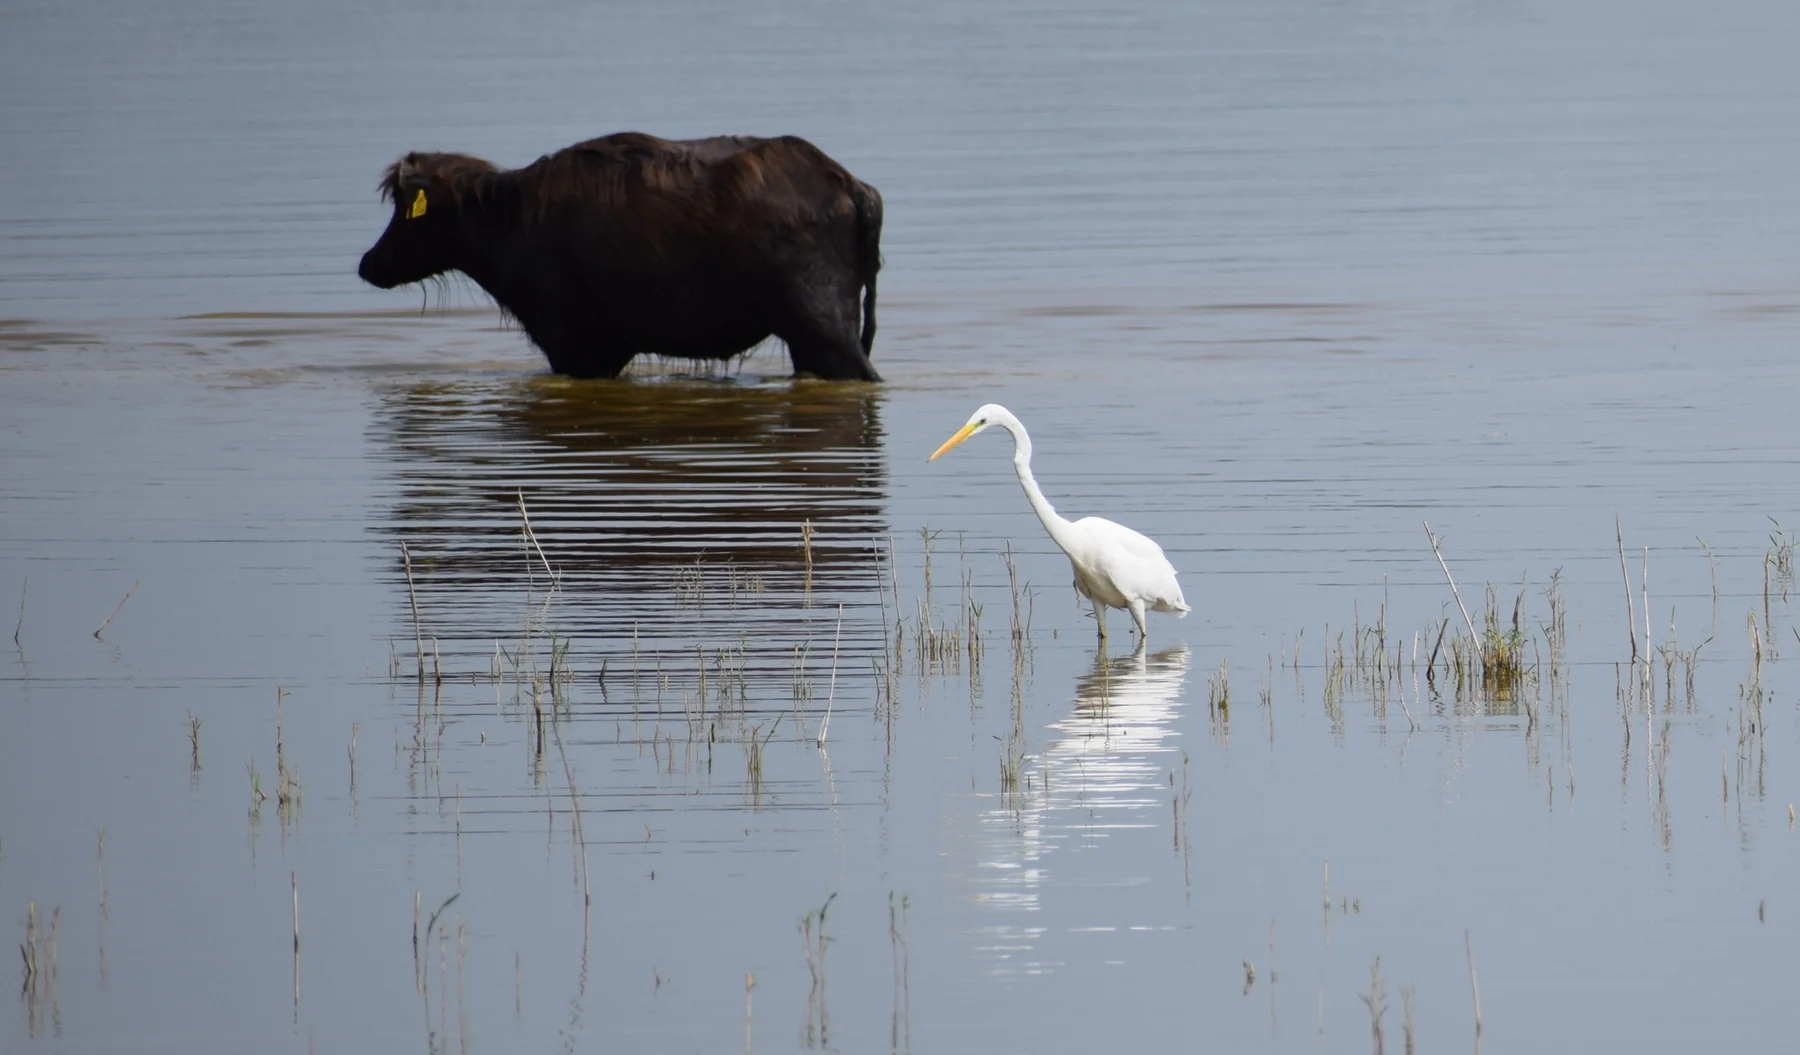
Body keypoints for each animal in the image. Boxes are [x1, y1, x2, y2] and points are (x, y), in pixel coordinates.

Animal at [358, 132, 884, 381]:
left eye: (404, 210)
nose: (368, 263)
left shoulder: (575, 347)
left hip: (823, 327)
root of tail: (850, 184)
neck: (510, 222)